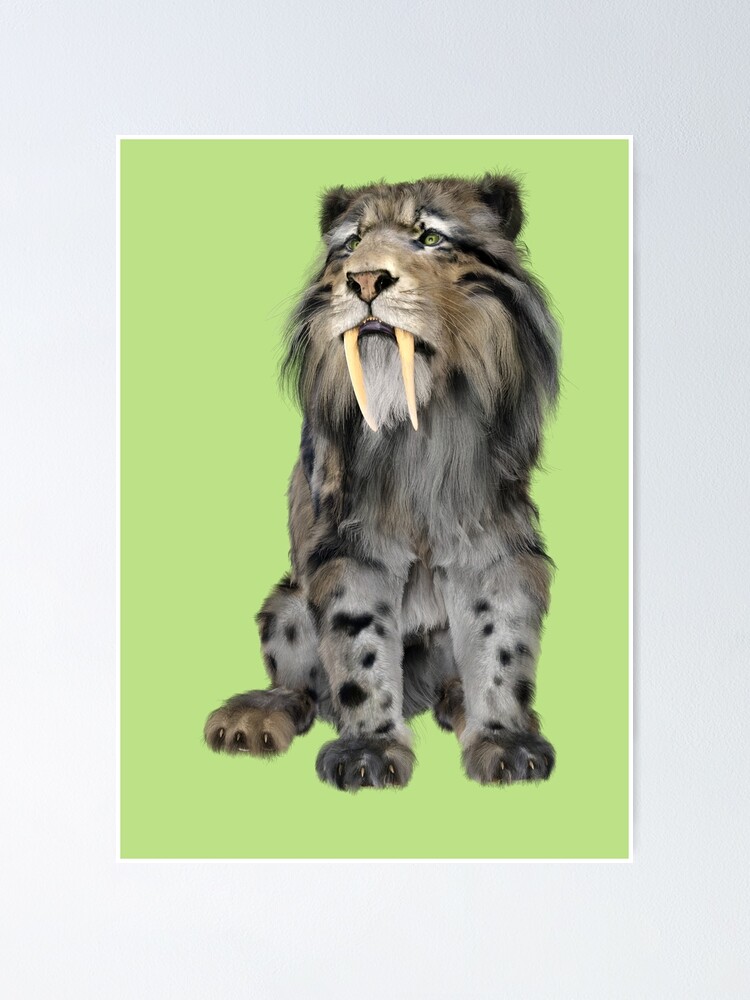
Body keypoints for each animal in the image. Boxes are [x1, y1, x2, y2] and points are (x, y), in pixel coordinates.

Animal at [204, 173, 561, 791]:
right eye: (351, 245)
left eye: (430, 237)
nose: (365, 279)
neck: (418, 421)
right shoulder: (354, 551)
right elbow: (359, 654)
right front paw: (368, 752)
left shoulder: (495, 545)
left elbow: (501, 647)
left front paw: (505, 742)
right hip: (286, 606)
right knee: (302, 690)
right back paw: (252, 718)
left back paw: (462, 703)